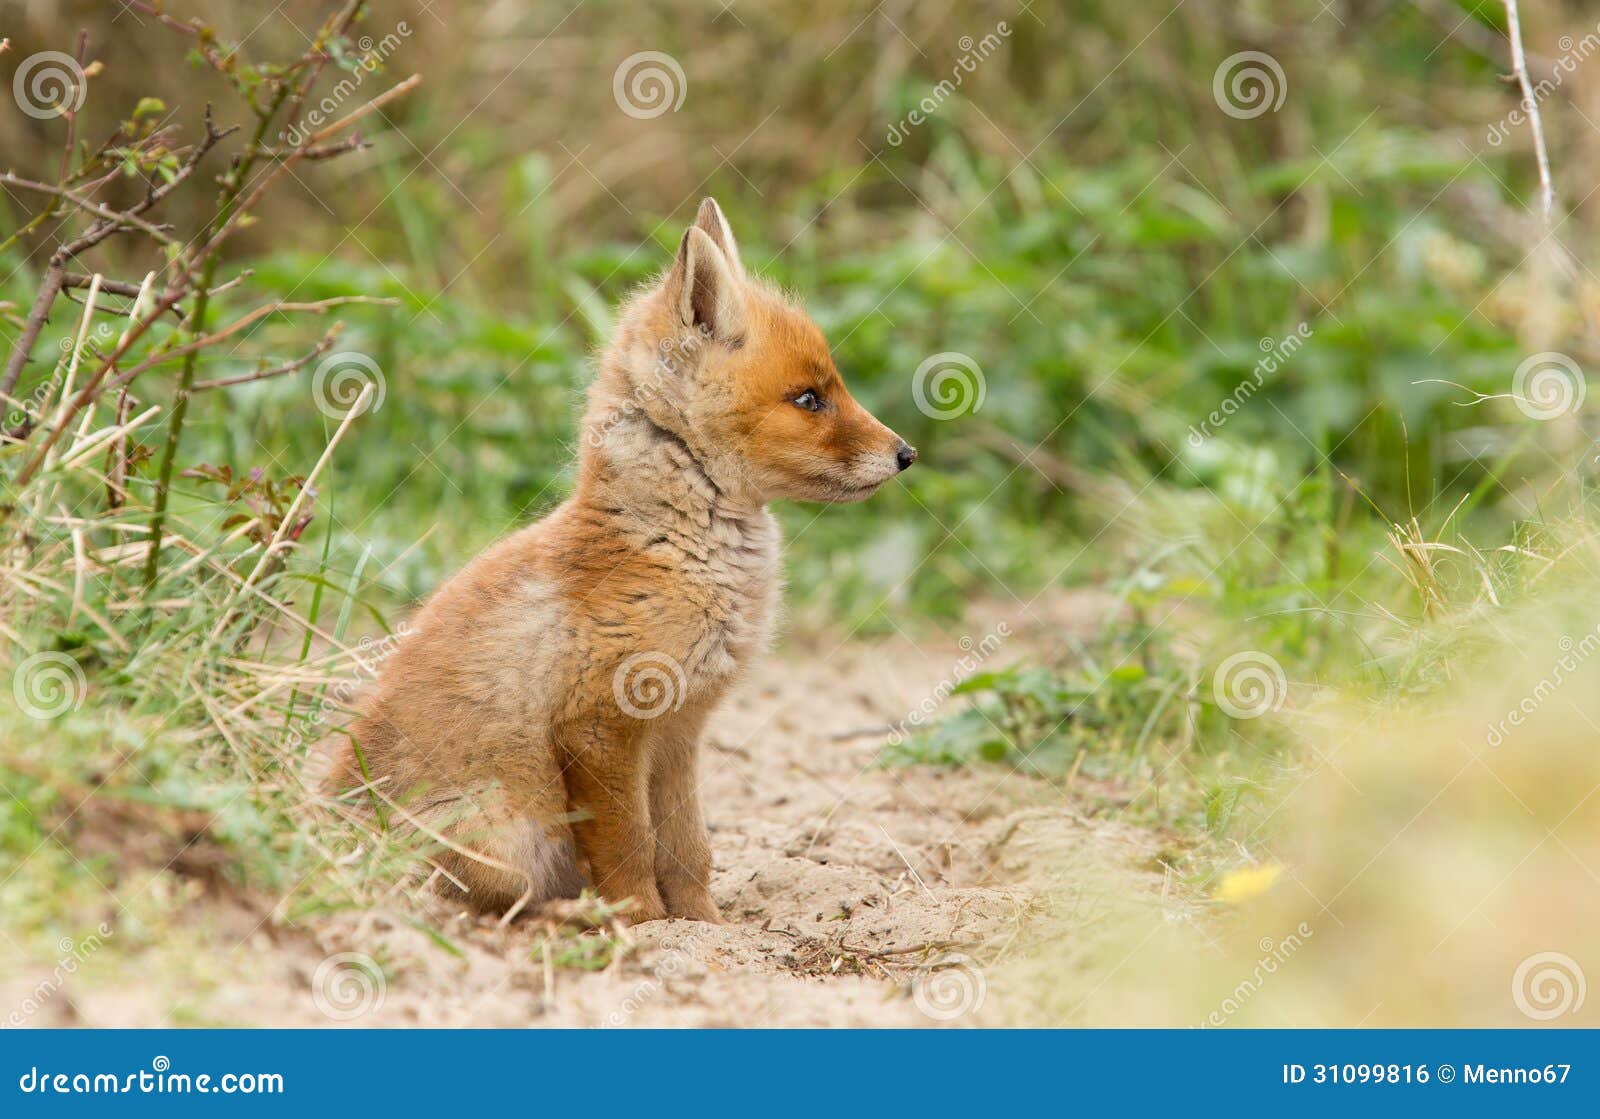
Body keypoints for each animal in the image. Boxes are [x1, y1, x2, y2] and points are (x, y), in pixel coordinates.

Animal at [325, 198, 915, 923]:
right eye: (809, 398)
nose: (907, 453)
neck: (678, 551)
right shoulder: (600, 726)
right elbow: (630, 845)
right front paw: (643, 925)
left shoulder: (681, 733)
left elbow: (688, 849)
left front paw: (706, 926)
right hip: (503, 835)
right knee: (471, 896)